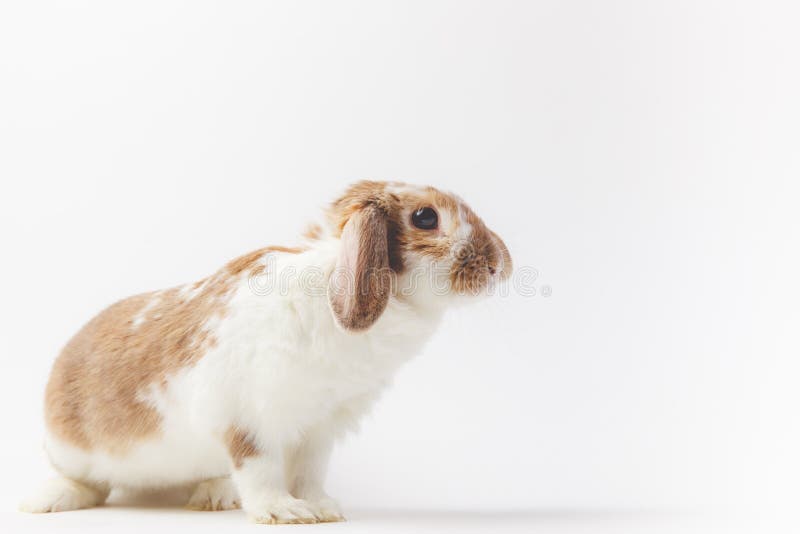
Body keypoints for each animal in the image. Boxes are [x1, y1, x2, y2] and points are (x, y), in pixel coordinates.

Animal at [20, 180, 512, 524]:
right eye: (425, 217)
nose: (500, 265)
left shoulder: (319, 428)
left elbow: (311, 473)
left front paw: (323, 509)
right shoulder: (249, 418)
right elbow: (260, 470)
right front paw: (283, 512)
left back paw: (214, 495)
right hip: (68, 449)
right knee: (84, 482)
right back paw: (45, 502)